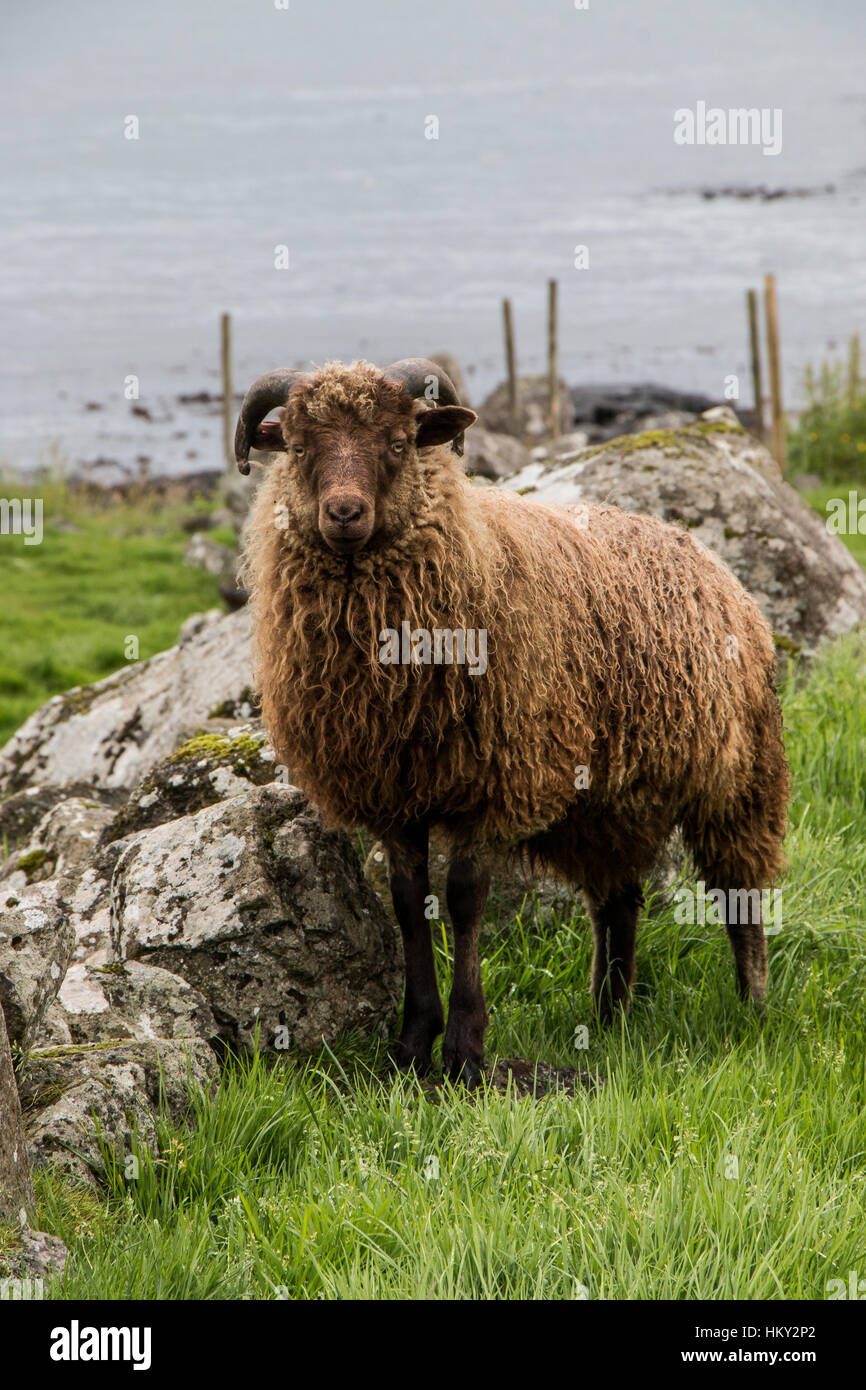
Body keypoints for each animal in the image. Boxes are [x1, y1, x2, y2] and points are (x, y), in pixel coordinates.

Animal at [235, 358, 790, 1086]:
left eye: (398, 442)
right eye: (298, 446)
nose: (345, 514)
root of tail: (710, 563)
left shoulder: (491, 780)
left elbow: (465, 899)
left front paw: (465, 1050)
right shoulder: (393, 795)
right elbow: (409, 902)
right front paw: (412, 1046)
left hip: (741, 778)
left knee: (739, 893)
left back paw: (753, 1008)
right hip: (609, 803)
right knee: (618, 900)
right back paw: (609, 1017)